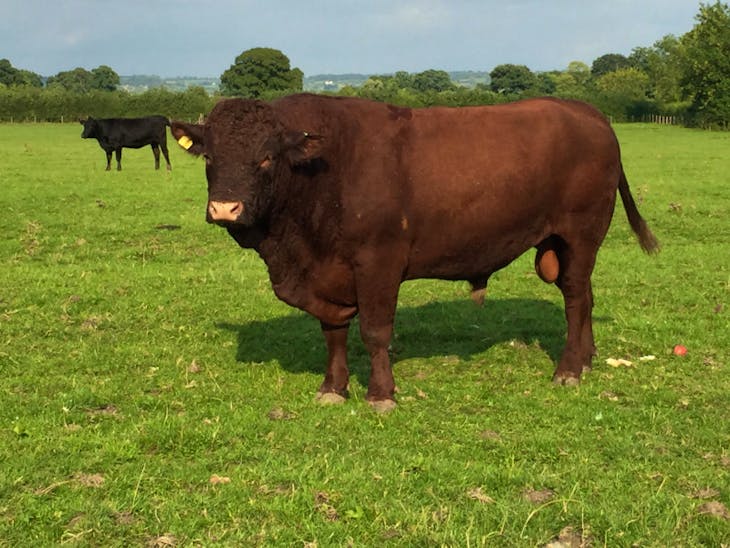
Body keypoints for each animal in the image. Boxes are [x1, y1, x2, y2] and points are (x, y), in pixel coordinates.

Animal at [171, 94, 659, 412]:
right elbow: (333, 332)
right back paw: (588, 359)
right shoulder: (328, 274)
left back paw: (569, 369)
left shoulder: (379, 262)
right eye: (209, 157)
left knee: (575, 298)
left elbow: (375, 331)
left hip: (580, 234)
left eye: (267, 156)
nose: (225, 208)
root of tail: (586, 112)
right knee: (586, 296)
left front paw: (381, 394)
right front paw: (333, 388)